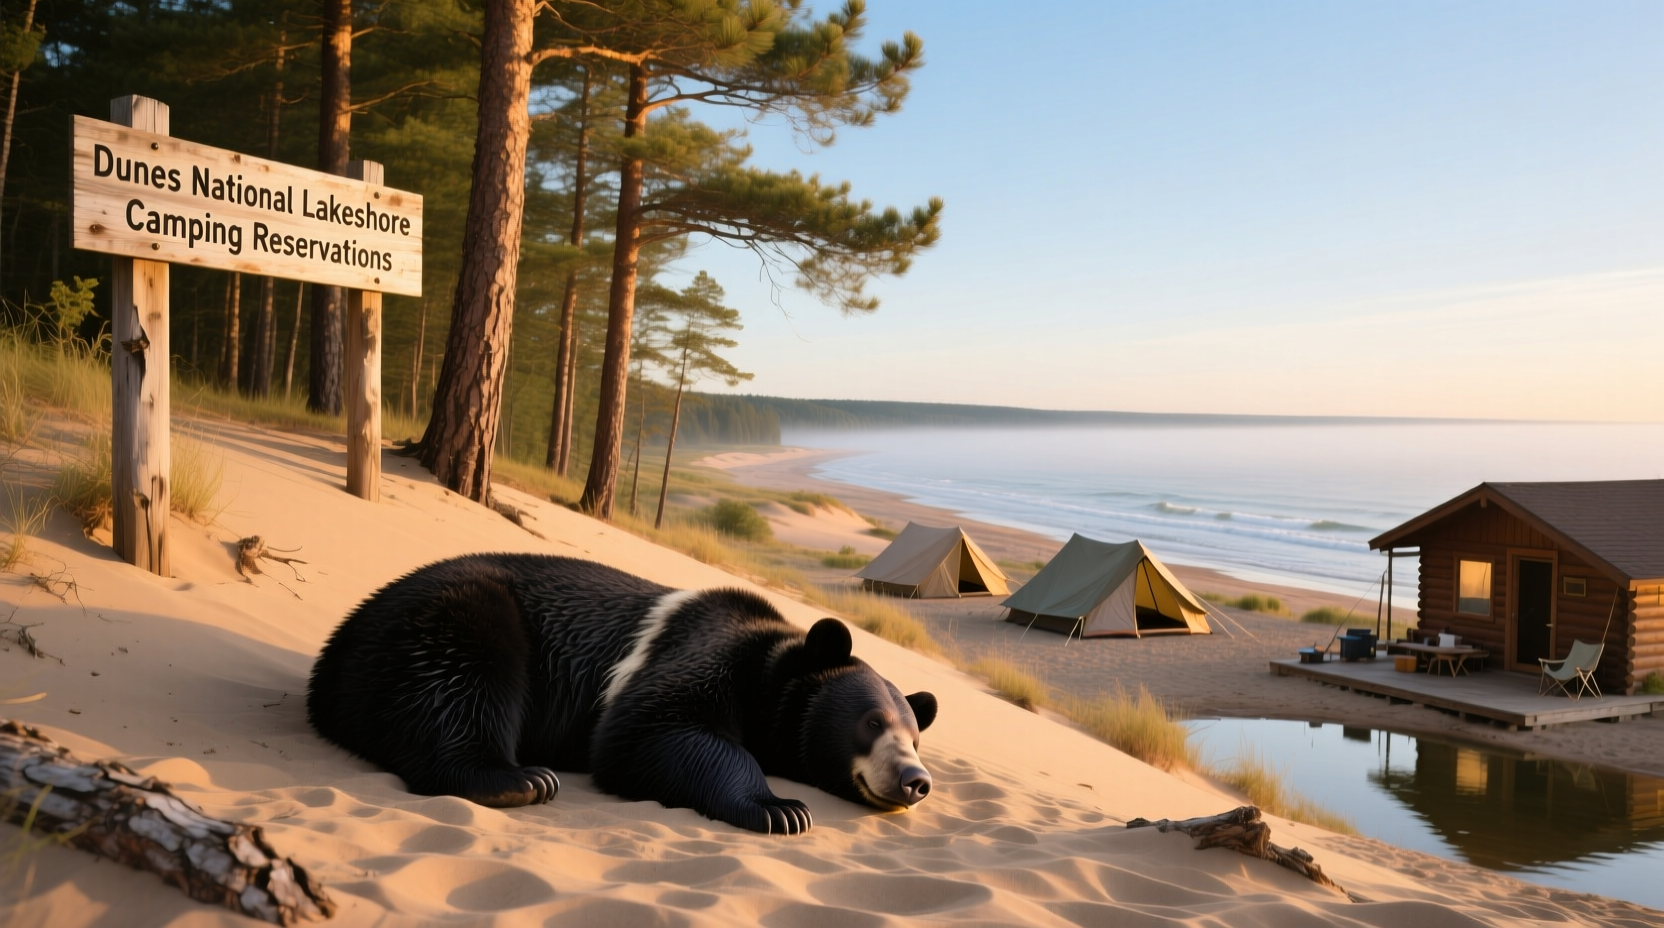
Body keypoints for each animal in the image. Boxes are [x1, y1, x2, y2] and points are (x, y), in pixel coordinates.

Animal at [306, 553, 937, 835]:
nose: (916, 780)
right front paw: (779, 808)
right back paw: (516, 779)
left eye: (915, 736)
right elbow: (651, 730)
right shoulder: (700, 652)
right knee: (458, 682)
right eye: (872, 722)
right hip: (453, 616)